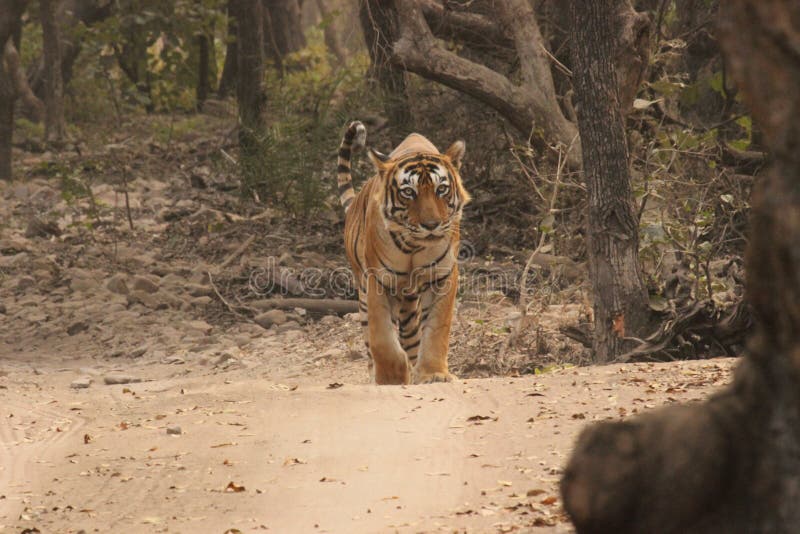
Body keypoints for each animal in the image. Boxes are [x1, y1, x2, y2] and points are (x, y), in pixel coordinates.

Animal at [336, 121, 471, 385]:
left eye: (441, 189)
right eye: (409, 192)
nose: (431, 225)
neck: (413, 247)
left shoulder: (442, 277)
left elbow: (437, 329)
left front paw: (433, 373)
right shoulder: (378, 280)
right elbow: (382, 337)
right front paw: (391, 378)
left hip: (410, 305)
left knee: (411, 337)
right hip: (363, 291)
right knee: (372, 339)